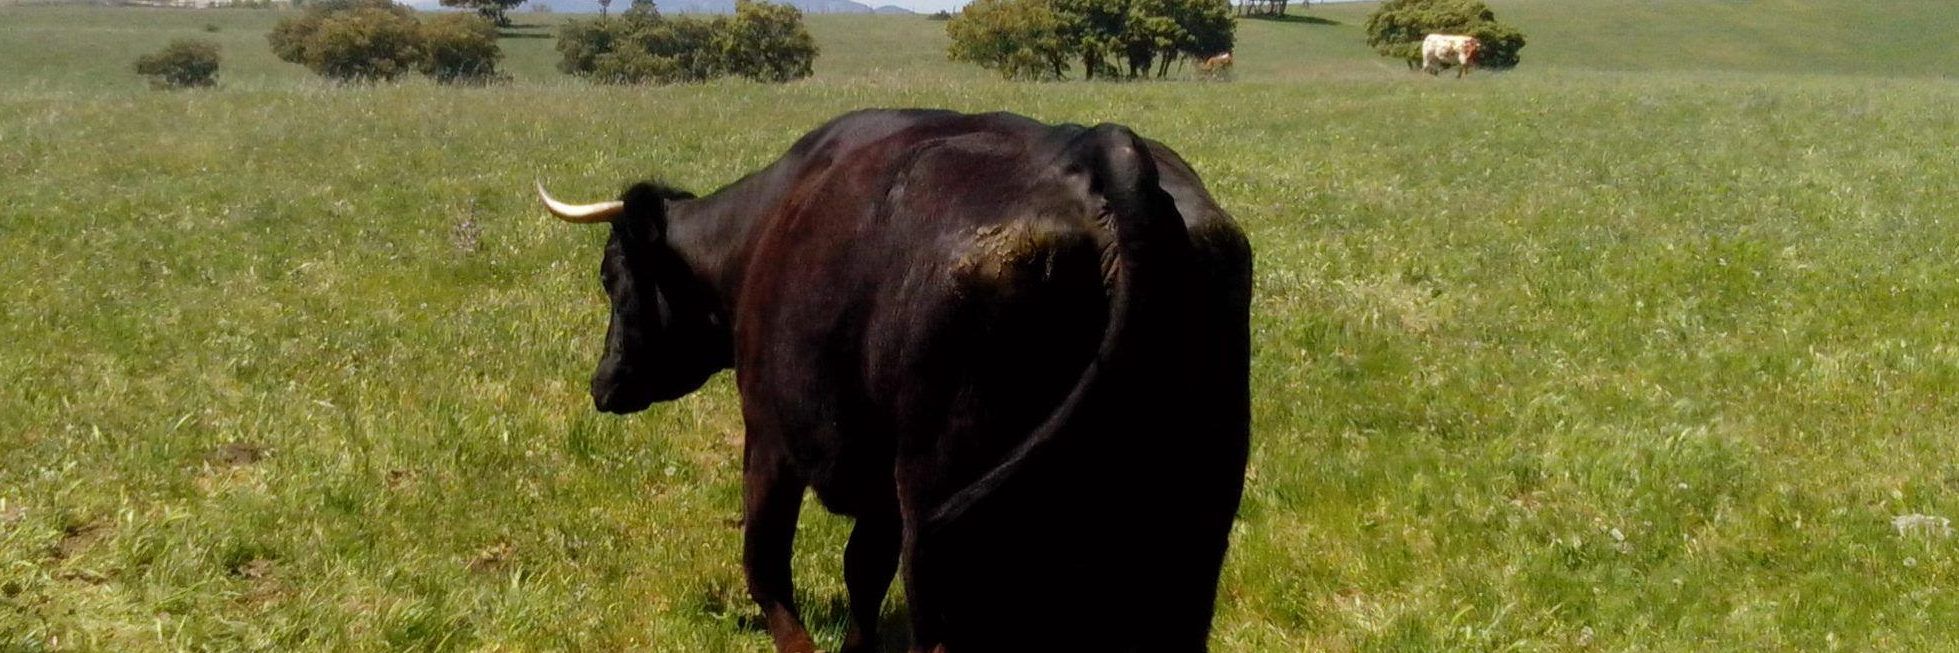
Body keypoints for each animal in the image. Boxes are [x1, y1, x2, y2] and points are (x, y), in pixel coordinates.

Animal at [537, 109, 1253, 653]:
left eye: (609, 275)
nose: (602, 383)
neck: (756, 234)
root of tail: (1093, 149)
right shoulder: (880, 482)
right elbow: (863, 573)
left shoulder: (770, 436)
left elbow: (766, 562)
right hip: (1194, 511)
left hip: (941, 508)